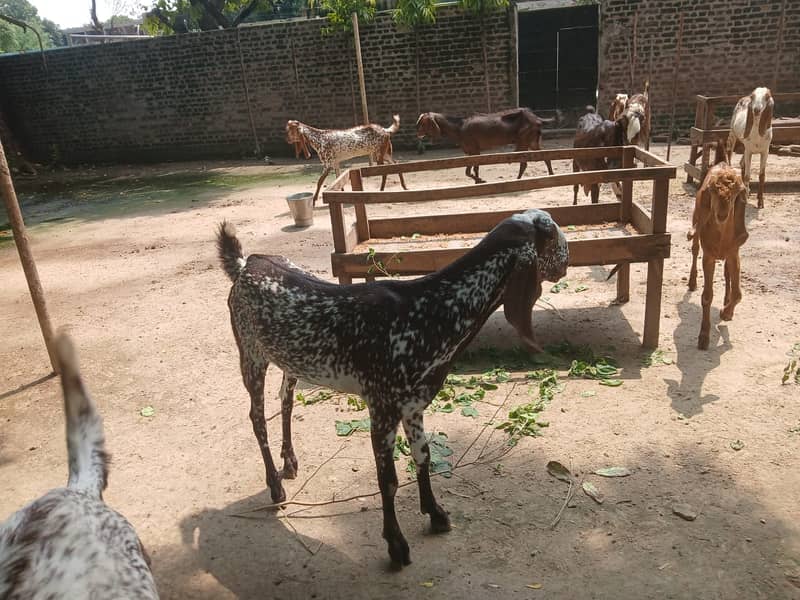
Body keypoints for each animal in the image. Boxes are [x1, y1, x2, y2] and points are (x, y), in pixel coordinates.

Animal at [217, 209, 568, 567]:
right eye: (554, 236)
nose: (566, 259)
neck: (428, 309)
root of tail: (247, 264)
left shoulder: (413, 405)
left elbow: (423, 456)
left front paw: (435, 513)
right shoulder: (382, 406)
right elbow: (388, 480)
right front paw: (396, 545)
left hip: (289, 359)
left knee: (286, 402)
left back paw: (289, 462)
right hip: (251, 352)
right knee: (257, 416)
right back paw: (275, 486)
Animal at [415, 109, 555, 184]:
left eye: (423, 123)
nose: (417, 133)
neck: (458, 127)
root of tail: (536, 118)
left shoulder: (474, 150)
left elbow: (471, 170)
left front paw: (479, 179)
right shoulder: (470, 152)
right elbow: (472, 169)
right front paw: (477, 180)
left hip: (523, 140)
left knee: (524, 162)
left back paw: (519, 179)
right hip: (533, 141)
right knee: (546, 156)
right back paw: (551, 174)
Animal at [687, 140, 749, 350]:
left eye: (737, 192)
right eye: (712, 191)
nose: (722, 215)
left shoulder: (734, 253)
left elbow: (738, 294)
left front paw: (726, 312)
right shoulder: (709, 256)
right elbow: (707, 296)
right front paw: (703, 337)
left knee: (727, 273)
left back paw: (726, 299)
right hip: (697, 220)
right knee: (694, 249)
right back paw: (692, 282)